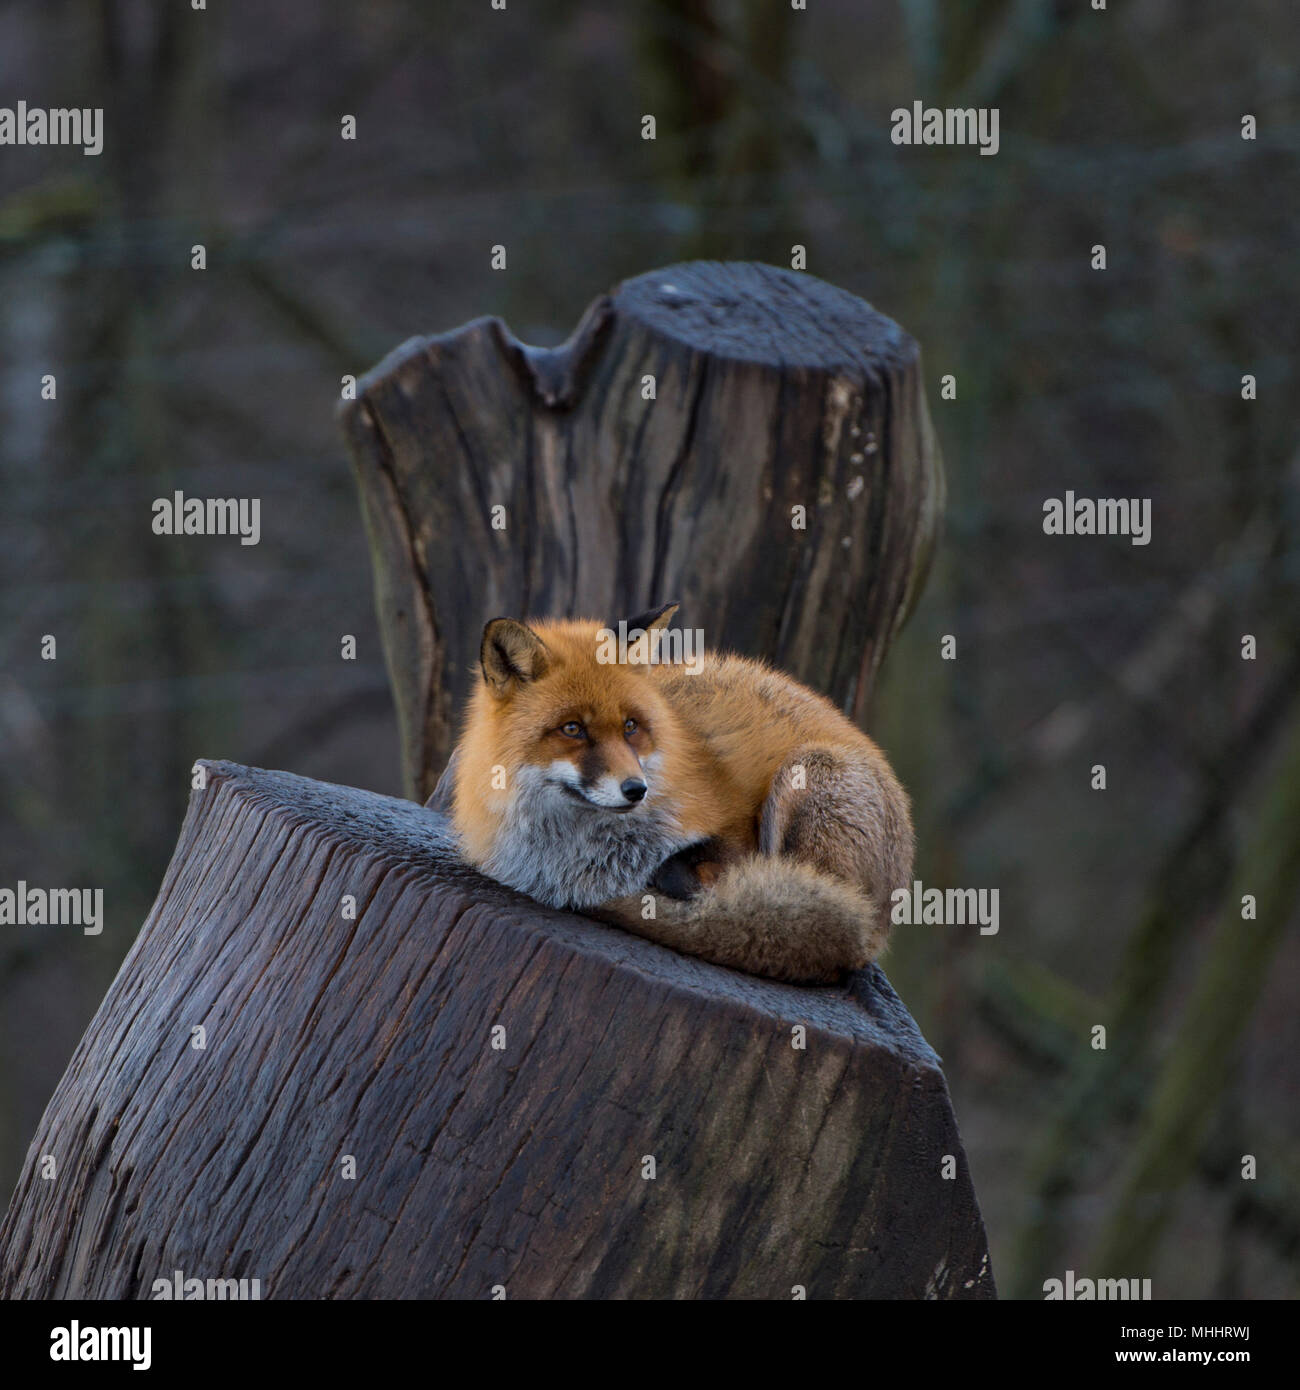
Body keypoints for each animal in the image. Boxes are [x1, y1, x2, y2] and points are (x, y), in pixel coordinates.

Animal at [444, 602, 914, 985]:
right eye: (572, 729)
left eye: (631, 726)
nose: (636, 789)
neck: (577, 848)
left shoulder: (734, 827)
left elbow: (705, 874)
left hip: (803, 778)